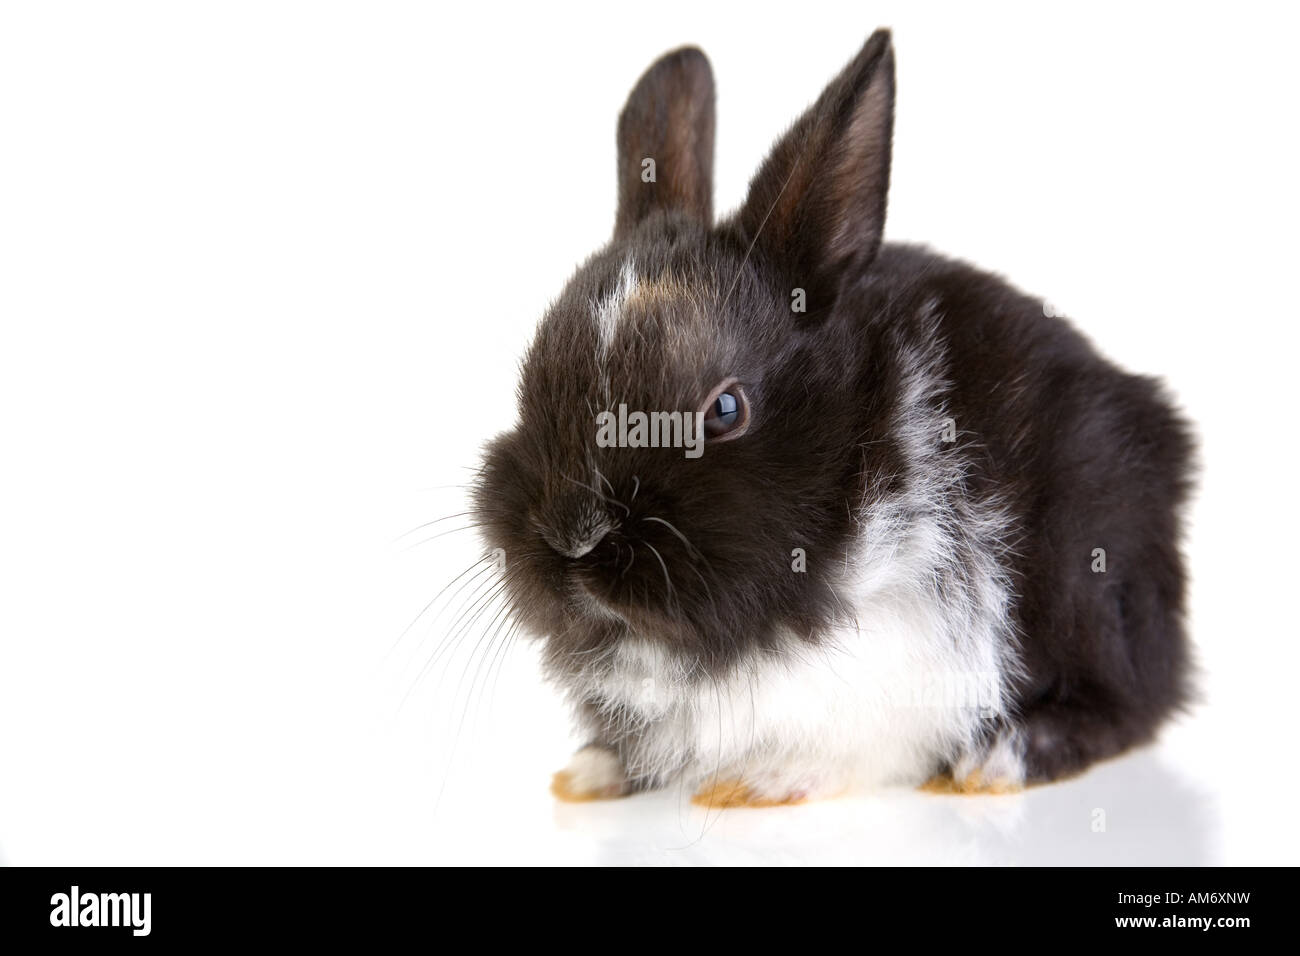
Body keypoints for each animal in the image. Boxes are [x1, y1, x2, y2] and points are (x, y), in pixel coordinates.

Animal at [471, 28, 1194, 807]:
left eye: (725, 408)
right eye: (533, 376)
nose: (576, 536)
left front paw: (754, 784)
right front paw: (593, 771)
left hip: (1084, 578)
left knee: (1130, 701)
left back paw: (1002, 758)